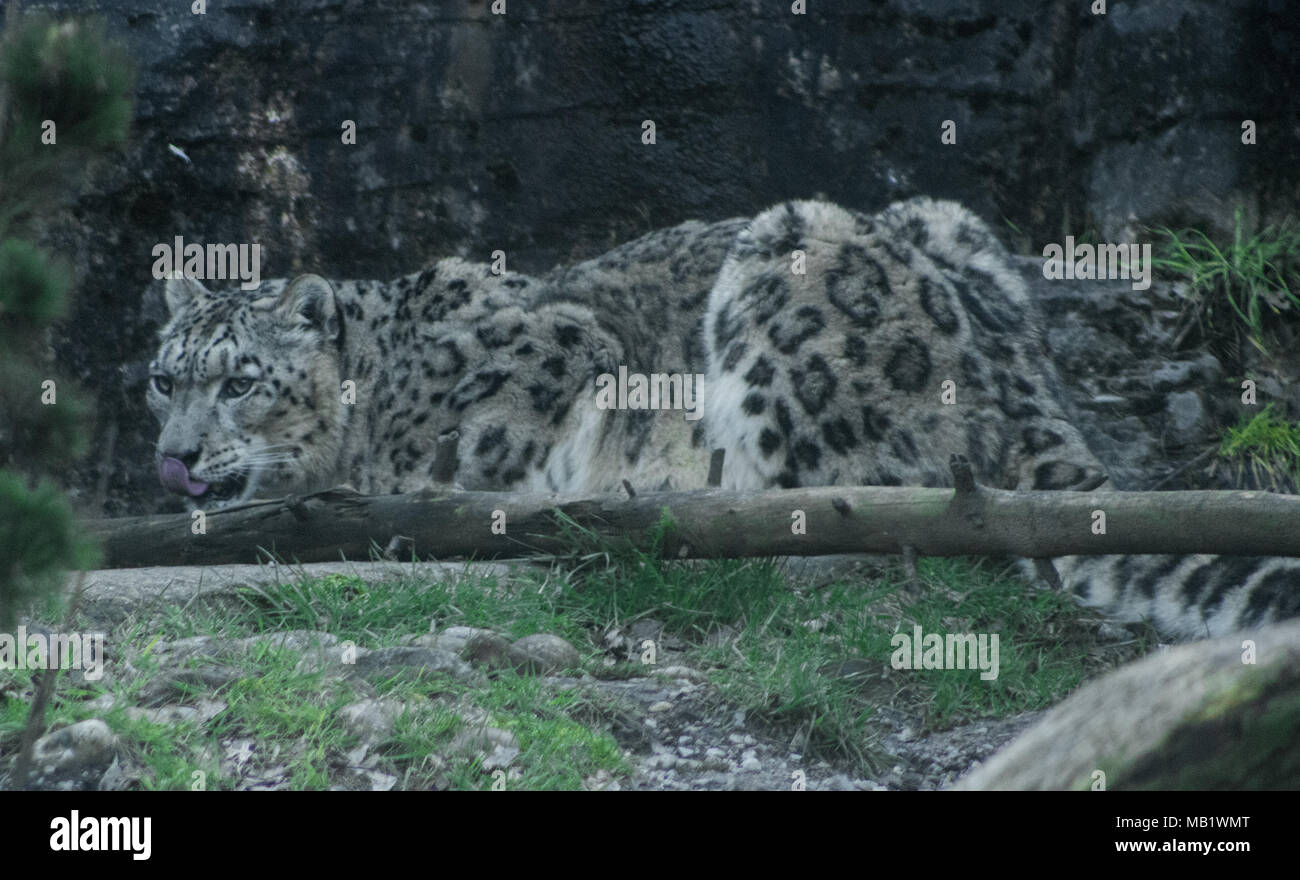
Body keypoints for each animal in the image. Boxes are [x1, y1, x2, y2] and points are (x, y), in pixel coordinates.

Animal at [147, 196, 1300, 642]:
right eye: (164, 379)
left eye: (240, 382)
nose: (175, 456)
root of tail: (1019, 372)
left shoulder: (558, 345)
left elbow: (441, 453)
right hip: (948, 220)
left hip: (790, 265)